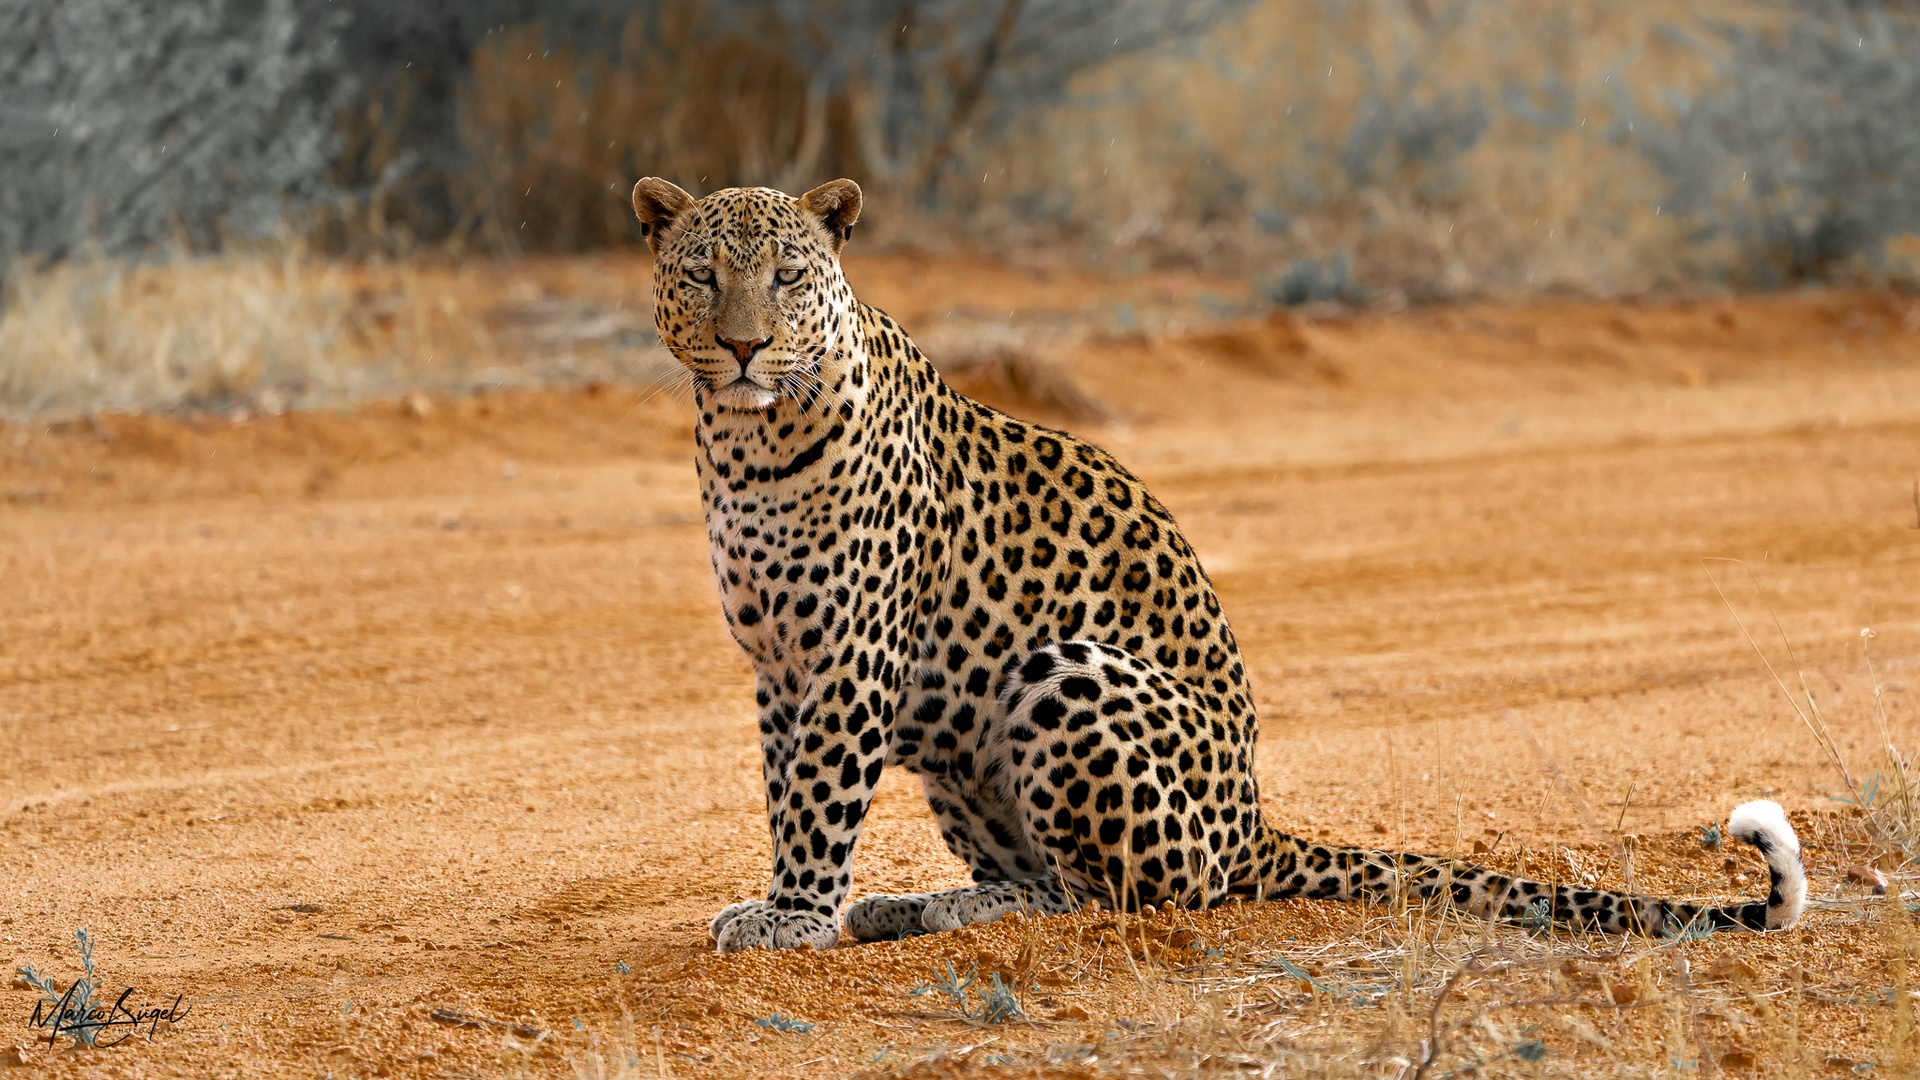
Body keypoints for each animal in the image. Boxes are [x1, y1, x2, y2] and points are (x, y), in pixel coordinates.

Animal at [627, 176, 1807, 953]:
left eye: (787, 277)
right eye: (702, 274)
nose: (744, 347)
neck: (747, 440)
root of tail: (1252, 825)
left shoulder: (851, 651)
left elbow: (819, 793)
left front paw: (796, 917)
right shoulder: (777, 663)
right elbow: (784, 786)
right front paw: (797, 904)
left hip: (1060, 672)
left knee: (1120, 894)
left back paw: (934, 910)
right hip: (960, 749)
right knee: (1044, 875)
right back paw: (912, 906)